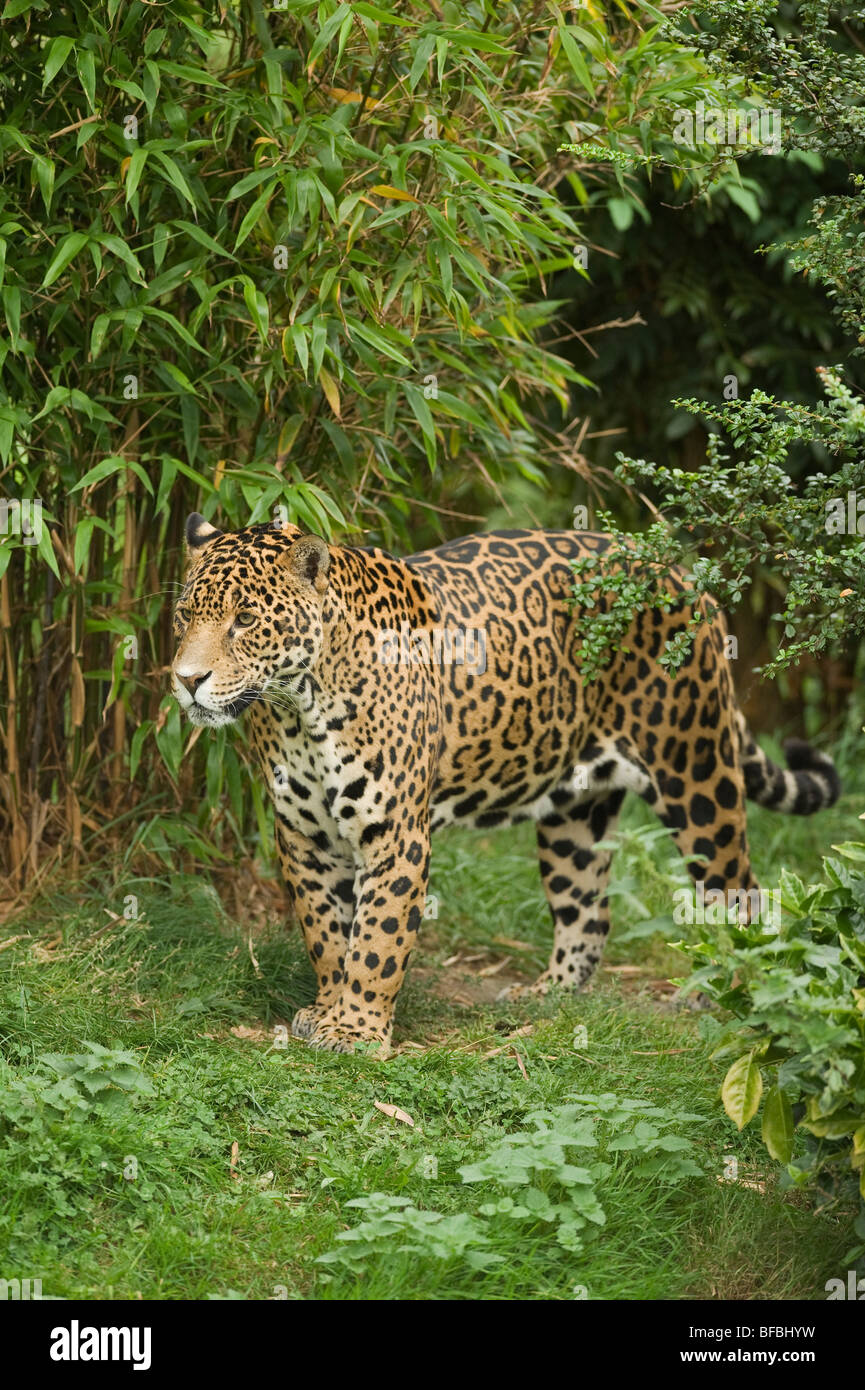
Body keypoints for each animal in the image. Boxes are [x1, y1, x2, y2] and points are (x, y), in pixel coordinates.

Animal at [171, 514, 841, 1055]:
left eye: (245, 620)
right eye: (184, 616)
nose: (186, 680)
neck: (298, 706)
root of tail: (680, 571)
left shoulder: (395, 835)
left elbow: (377, 939)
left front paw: (356, 1029)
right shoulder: (303, 837)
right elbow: (327, 935)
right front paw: (328, 1009)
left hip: (696, 770)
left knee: (739, 892)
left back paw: (726, 994)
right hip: (575, 811)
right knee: (588, 912)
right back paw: (548, 996)